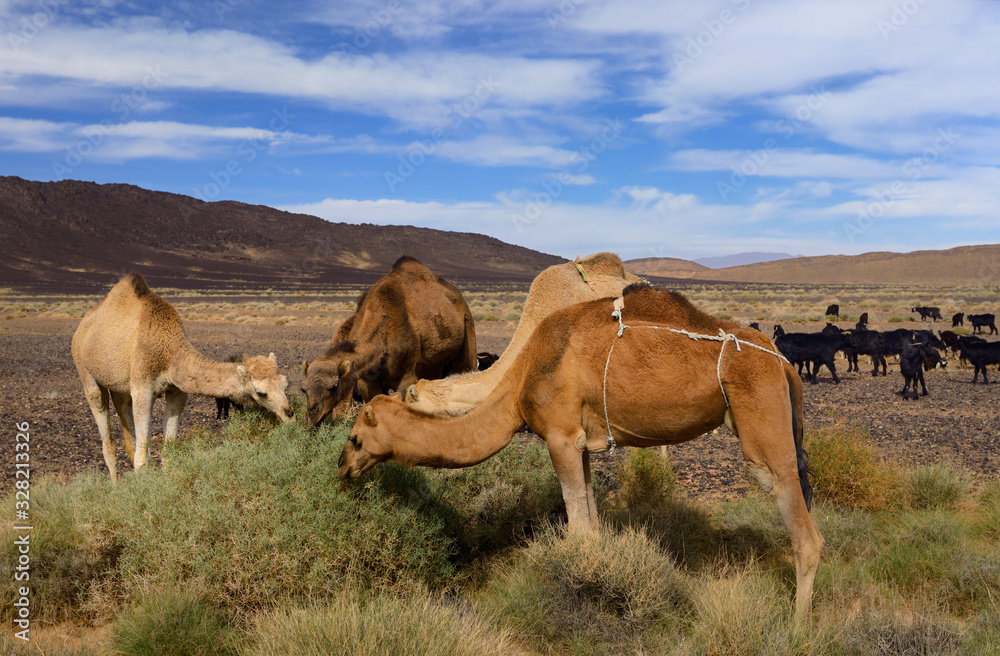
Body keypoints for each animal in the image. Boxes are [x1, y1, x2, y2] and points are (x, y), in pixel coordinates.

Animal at [71, 273, 294, 483]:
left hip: (120, 385)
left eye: (286, 385)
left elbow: (169, 452)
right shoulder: (142, 388)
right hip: (83, 366)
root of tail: (84, 323)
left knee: (125, 426)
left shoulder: (177, 391)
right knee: (102, 420)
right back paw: (116, 487)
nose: (289, 414)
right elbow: (142, 458)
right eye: (261, 392)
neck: (168, 350)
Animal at [301, 256, 477, 426]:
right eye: (303, 388)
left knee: (466, 369)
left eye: (333, 386)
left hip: (468, 326)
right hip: (433, 364)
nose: (312, 417)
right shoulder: (366, 380)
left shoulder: (406, 378)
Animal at [339, 284, 824, 617]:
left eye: (354, 437)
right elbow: (591, 524)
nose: (342, 468)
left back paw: (798, 624)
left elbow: (577, 530)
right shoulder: (582, 442)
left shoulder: (558, 437)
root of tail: (782, 361)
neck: (519, 385)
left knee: (799, 522)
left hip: (761, 419)